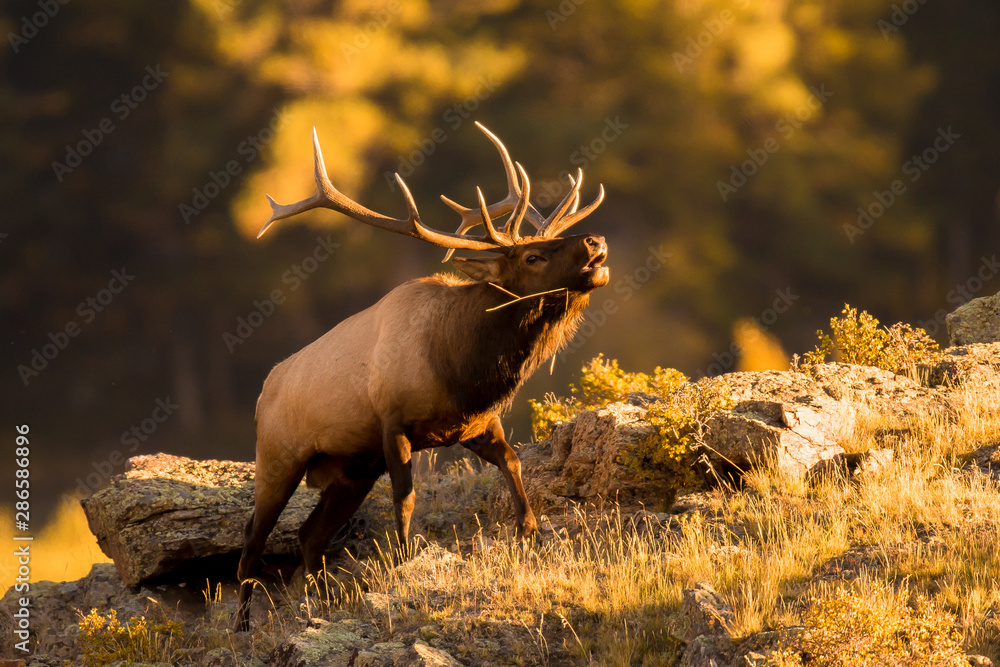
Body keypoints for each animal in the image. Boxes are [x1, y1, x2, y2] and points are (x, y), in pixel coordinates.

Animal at [234, 122, 609, 630]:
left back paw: (322, 603)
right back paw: (242, 626)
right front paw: (405, 560)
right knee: (252, 543)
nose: (594, 241)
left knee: (310, 535)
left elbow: (513, 464)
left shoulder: (475, 424)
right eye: (532, 256)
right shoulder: (394, 424)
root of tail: (261, 394)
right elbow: (406, 499)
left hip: (352, 467)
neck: (460, 366)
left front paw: (530, 535)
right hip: (278, 457)